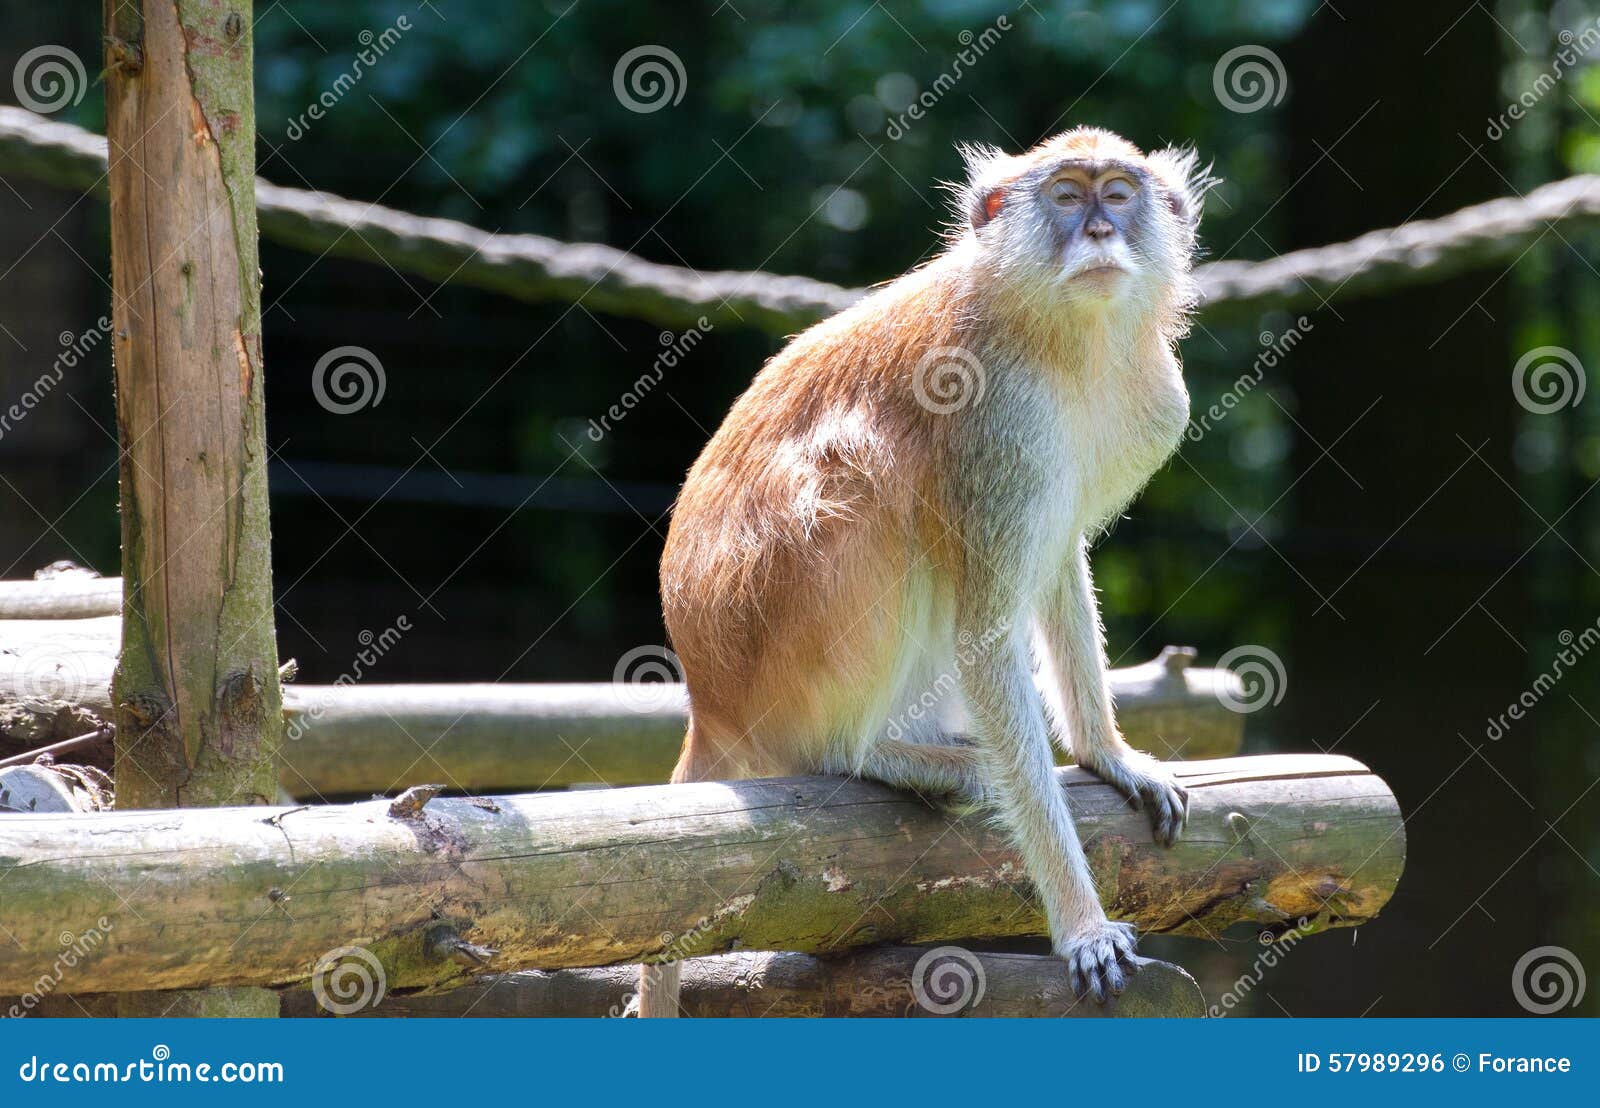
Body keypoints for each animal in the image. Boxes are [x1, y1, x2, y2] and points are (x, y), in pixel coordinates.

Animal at [639, 127, 1211, 1016]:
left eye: (1118, 195)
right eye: (1066, 196)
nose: (1098, 231)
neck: (1060, 336)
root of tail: (712, 703)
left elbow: (1056, 562)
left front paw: (1109, 755)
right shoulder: (993, 421)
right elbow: (986, 637)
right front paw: (1082, 925)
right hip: (784, 653)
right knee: (865, 483)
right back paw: (864, 752)